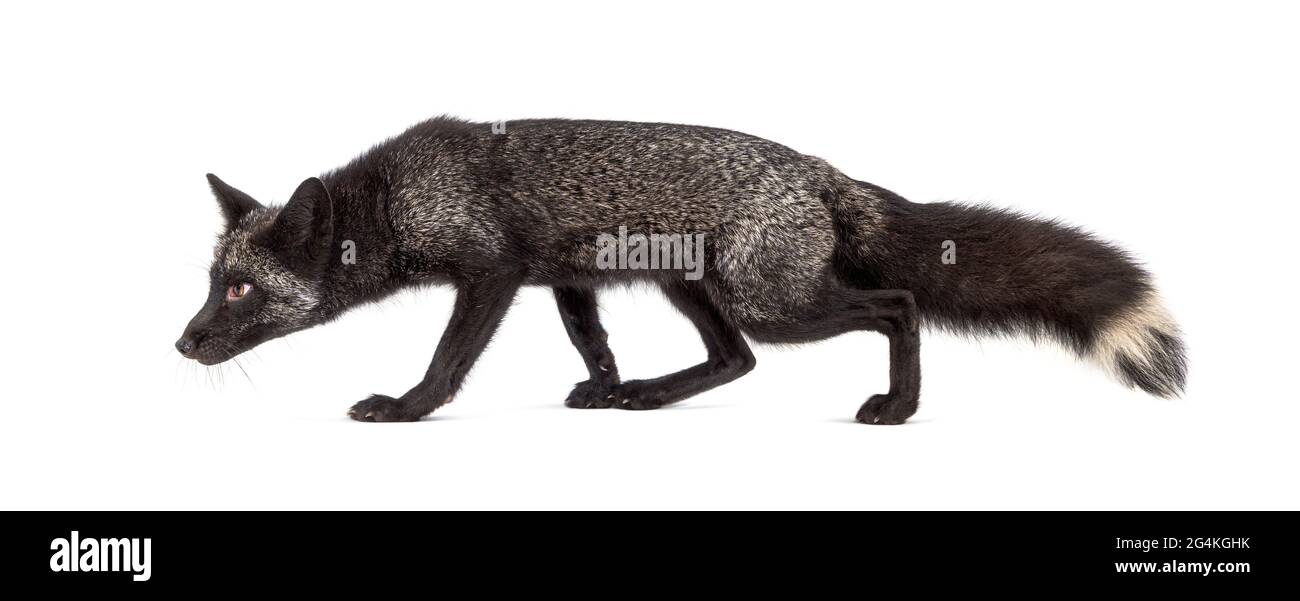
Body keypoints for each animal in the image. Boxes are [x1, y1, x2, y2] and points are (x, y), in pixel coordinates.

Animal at [177, 117, 1186, 424]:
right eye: (212, 281)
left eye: (240, 289)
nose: (182, 343)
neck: (393, 197)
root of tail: (822, 171)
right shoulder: (564, 275)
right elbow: (591, 339)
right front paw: (605, 383)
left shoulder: (492, 275)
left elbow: (449, 358)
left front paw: (408, 407)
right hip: (692, 287)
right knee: (735, 359)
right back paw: (648, 396)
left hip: (769, 298)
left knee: (898, 304)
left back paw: (897, 409)